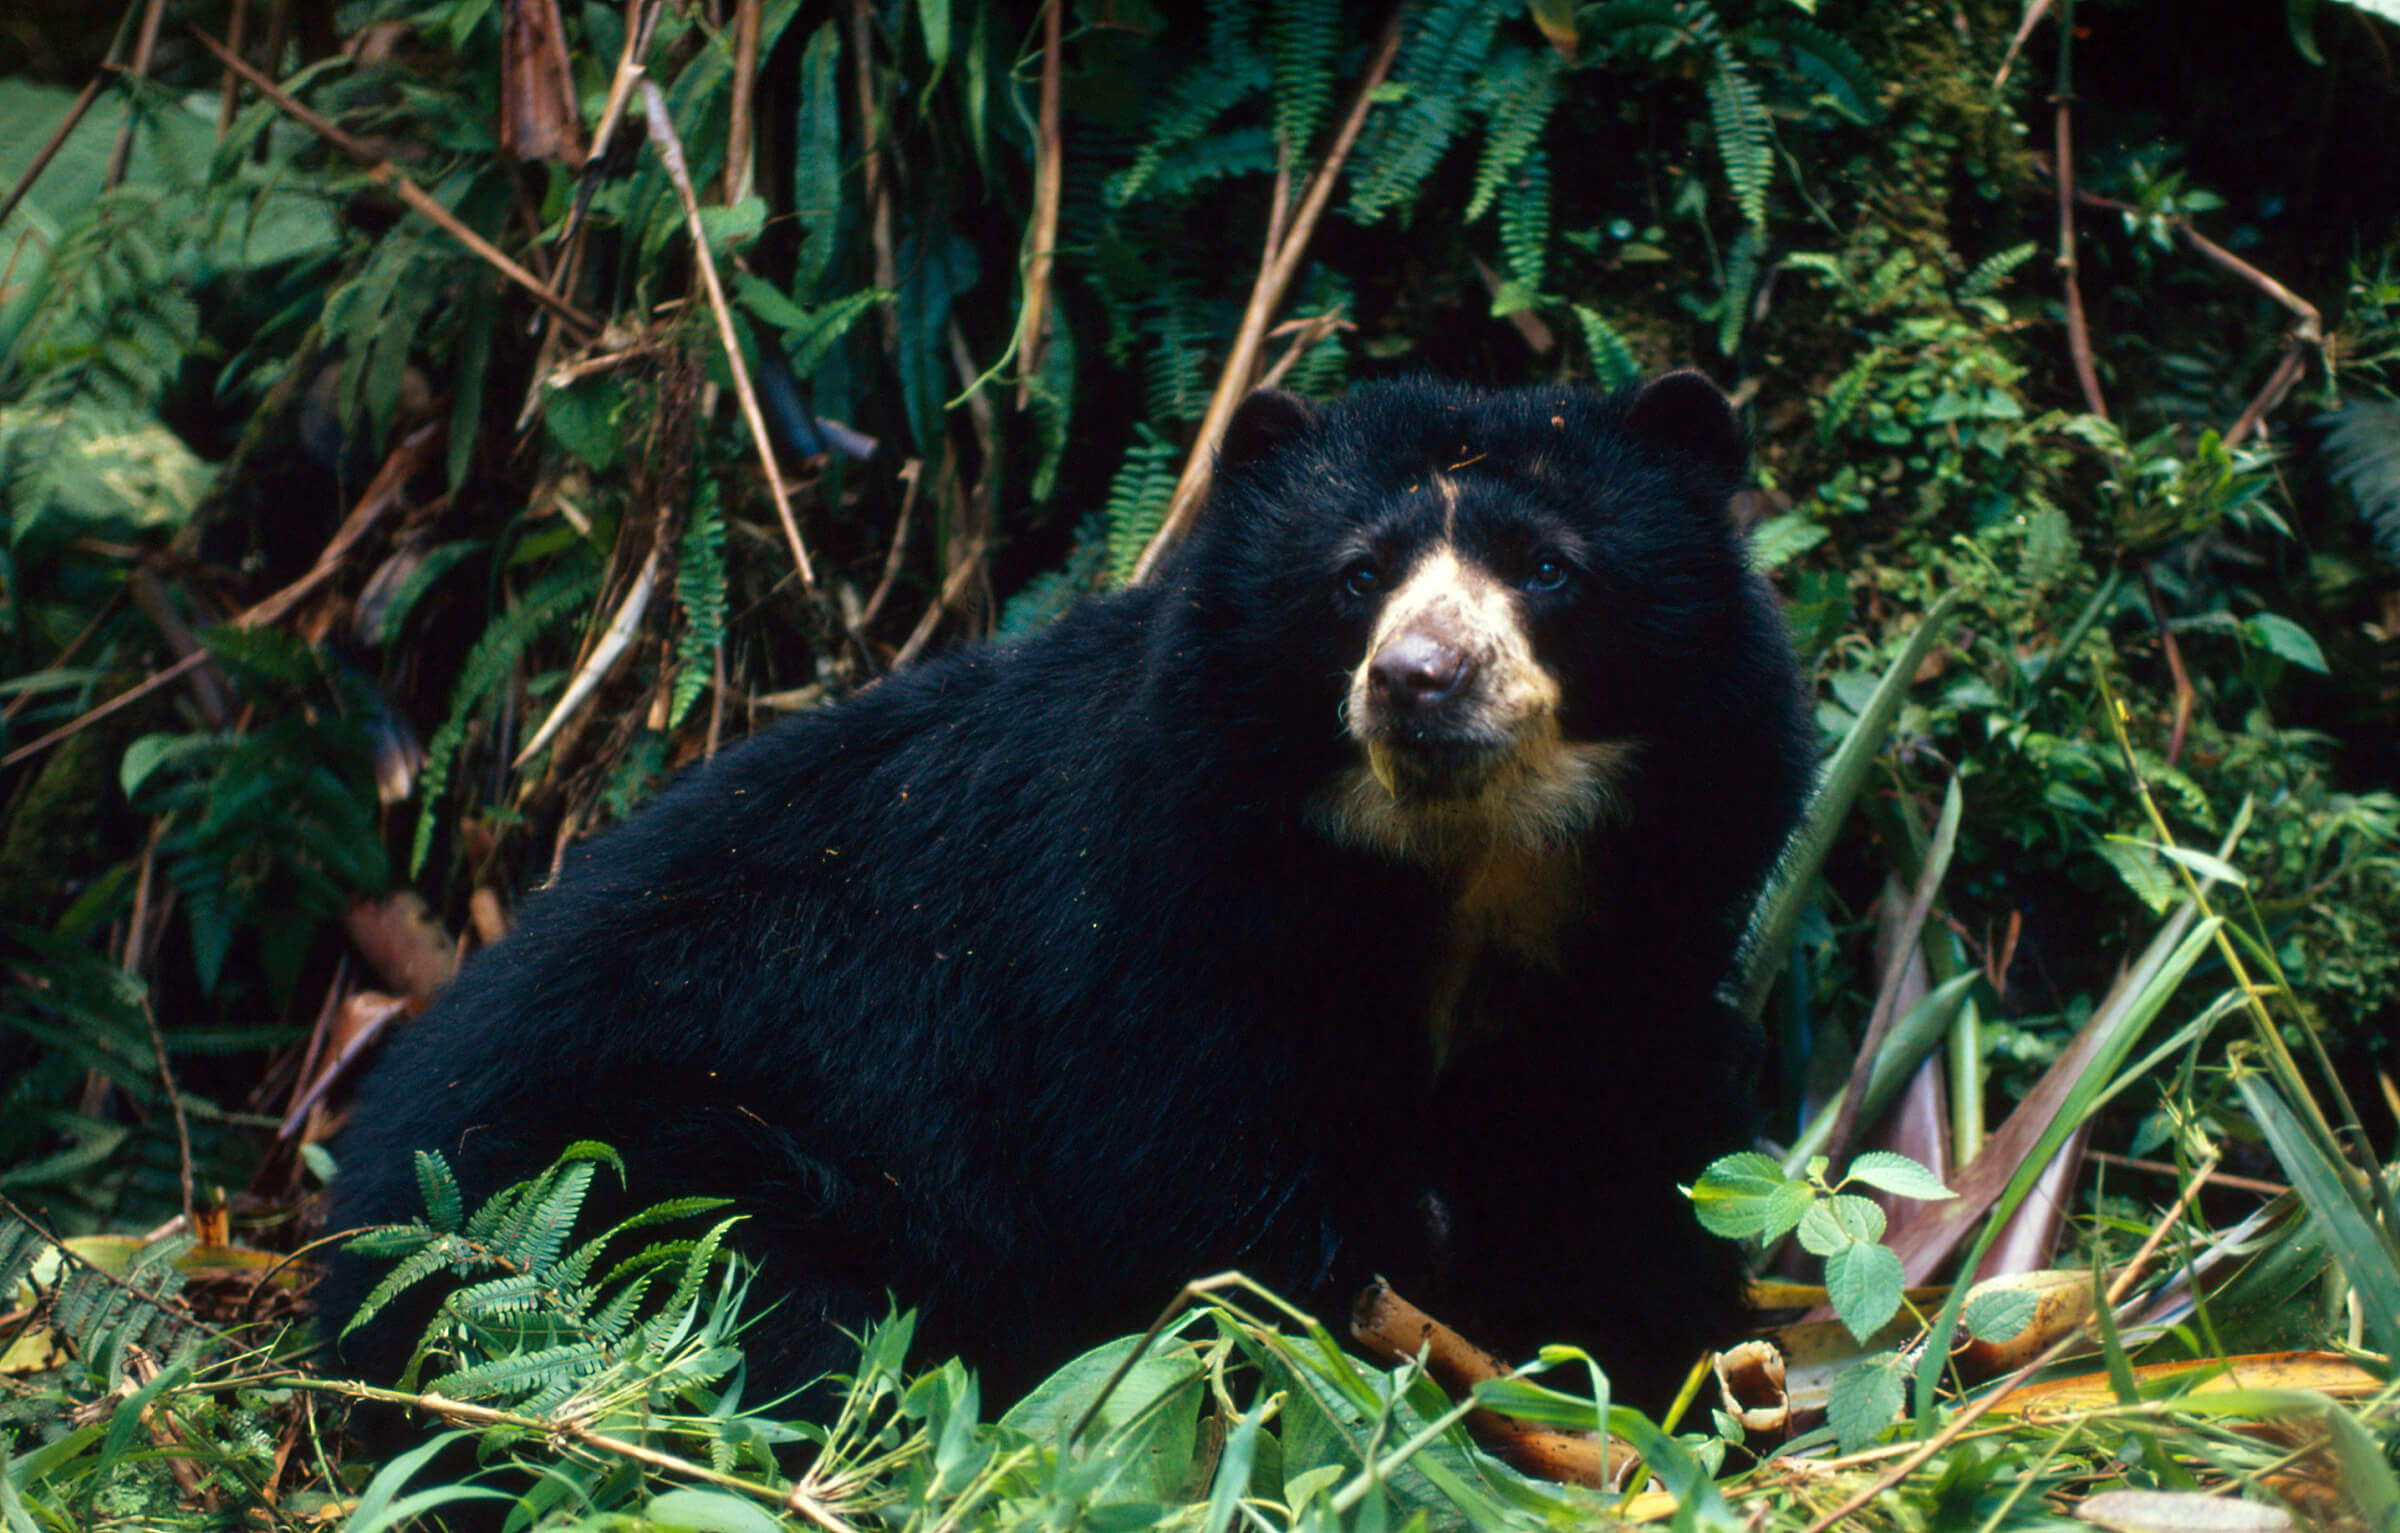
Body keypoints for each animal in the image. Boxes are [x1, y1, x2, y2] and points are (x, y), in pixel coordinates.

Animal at [321, 371, 1812, 1415]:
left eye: (1550, 567)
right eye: (1354, 580)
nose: (1419, 680)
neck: (1454, 870)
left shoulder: (1632, 935)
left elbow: (1617, 1160)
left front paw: (1676, 1364)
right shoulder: (1164, 939)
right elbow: (1202, 1214)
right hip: (604, 1175)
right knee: (760, 1310)